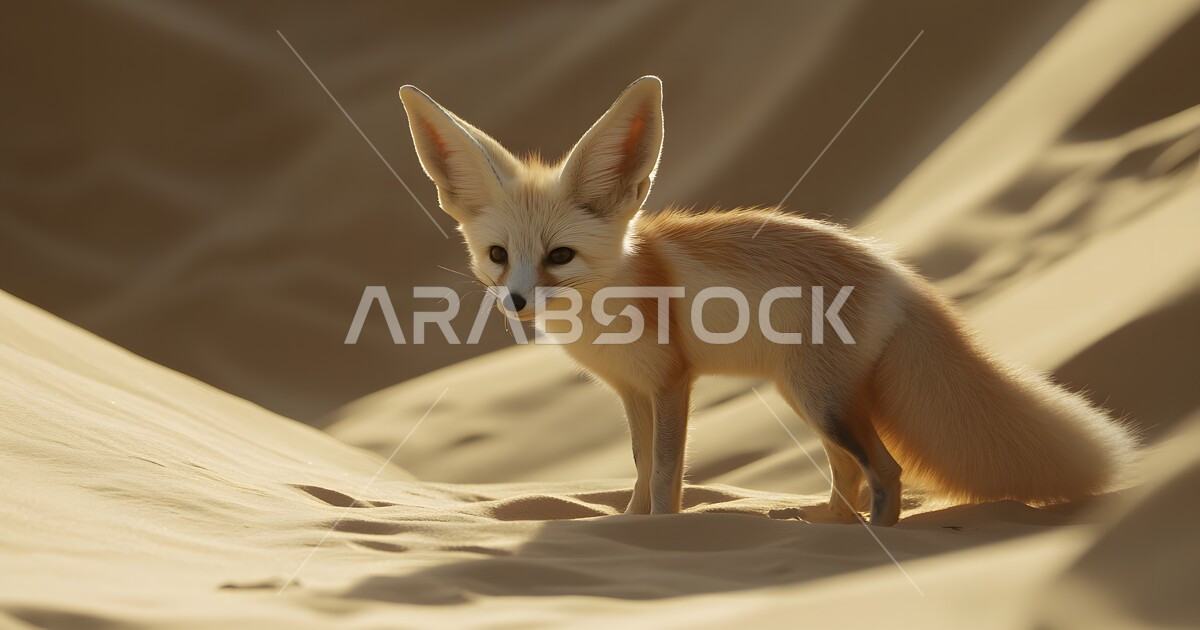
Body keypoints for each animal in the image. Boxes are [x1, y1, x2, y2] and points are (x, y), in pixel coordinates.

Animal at [397, 76, 1137, 525]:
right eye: (499, 256)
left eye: (559, 257)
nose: (517, 303)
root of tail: (895, 270)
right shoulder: (633, 392)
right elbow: (638, 468)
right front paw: (629, 525)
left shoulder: (672, 383)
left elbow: (665, 472)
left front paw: (657, 532)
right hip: (808, 398)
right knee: (849, 472)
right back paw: (826, 526)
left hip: (819, 401)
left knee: (885, 469)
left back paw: (879, 541)